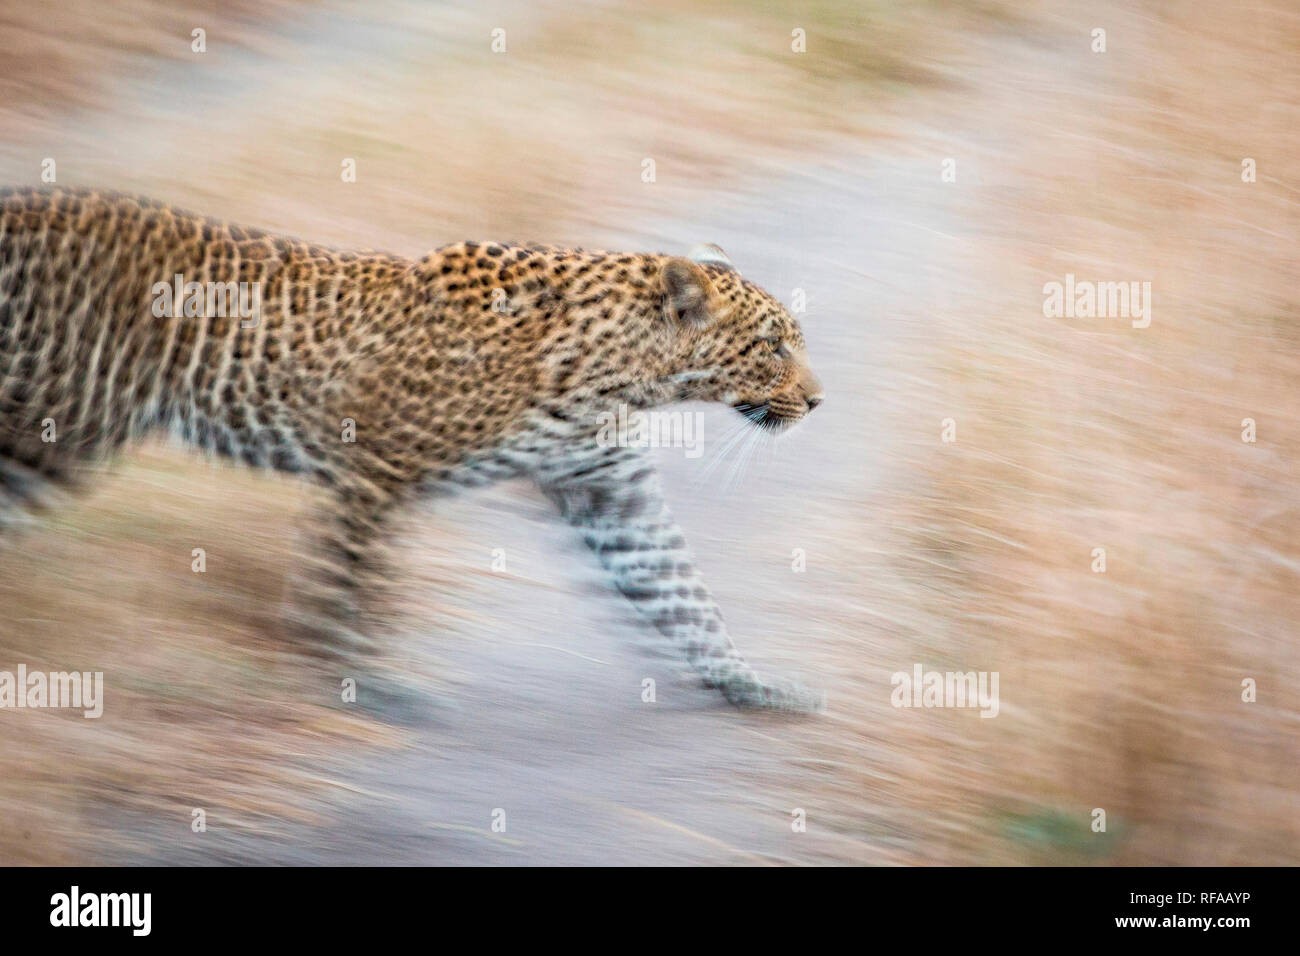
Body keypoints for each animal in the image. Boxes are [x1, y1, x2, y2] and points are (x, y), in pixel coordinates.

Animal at [0, 187, 826, 712]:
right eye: (773, 346)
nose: (819, 401)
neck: (619, 372)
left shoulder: (606, 488)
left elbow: (680, 593)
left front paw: (748, 682)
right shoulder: (374, 473)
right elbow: (347, 584)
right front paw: (359, 681)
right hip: (54, 422)